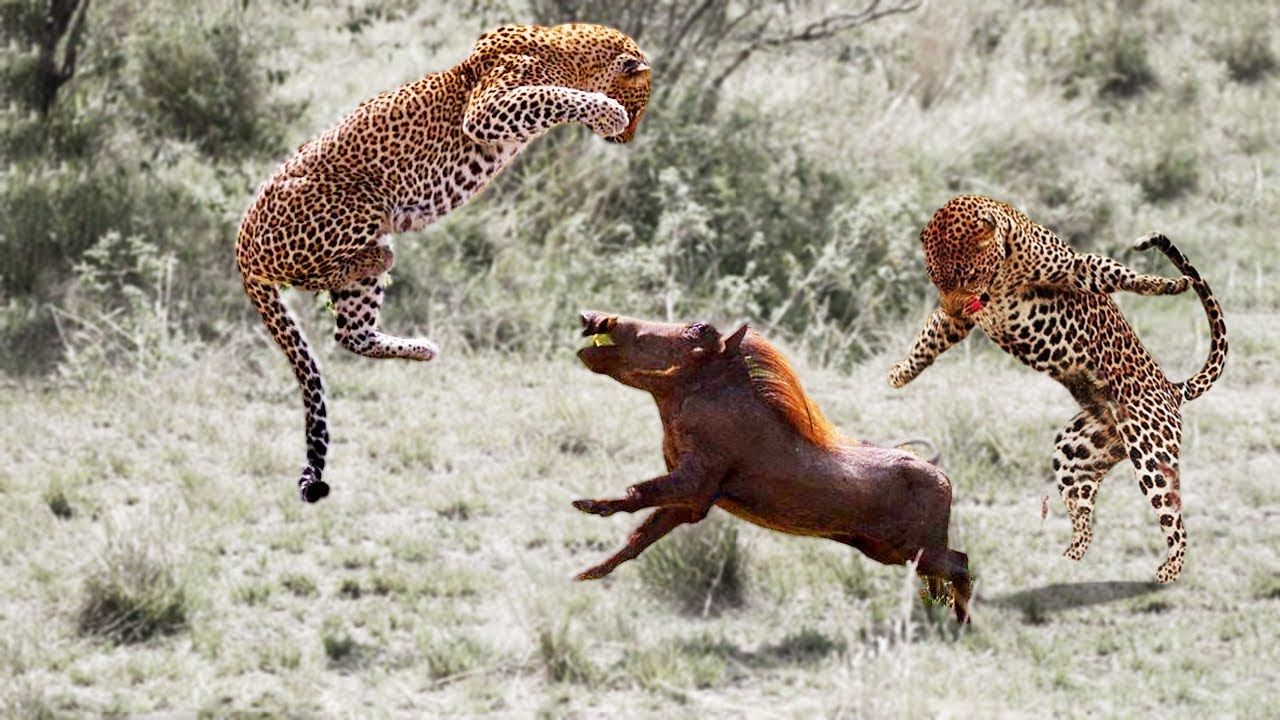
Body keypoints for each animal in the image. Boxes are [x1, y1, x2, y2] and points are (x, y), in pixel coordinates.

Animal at [236, 23, 651, 503]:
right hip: (359, 204)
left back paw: (419, 345)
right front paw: (606, 112)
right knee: (316, 273)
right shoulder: (490, 107)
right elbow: (553, 95)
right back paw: (380, 256)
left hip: (357, 280)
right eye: (638, 107)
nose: (627, 139)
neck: (571, 55)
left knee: (350, 333)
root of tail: (241, 238)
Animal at [887, 194, 1227, 584]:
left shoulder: (1073, 268)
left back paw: (1168, 571)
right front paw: (901, 373)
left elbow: (1117, 271)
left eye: (967, 275)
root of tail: (1172, 388)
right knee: (1084, 506)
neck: (1000, 270)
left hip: (1150, 450)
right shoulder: (957, 318)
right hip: (1075, 448)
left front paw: (1168, 285)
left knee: (1174, 517)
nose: (958, 306)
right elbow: (929, 337)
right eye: (935, 278)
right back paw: (1070, 555)